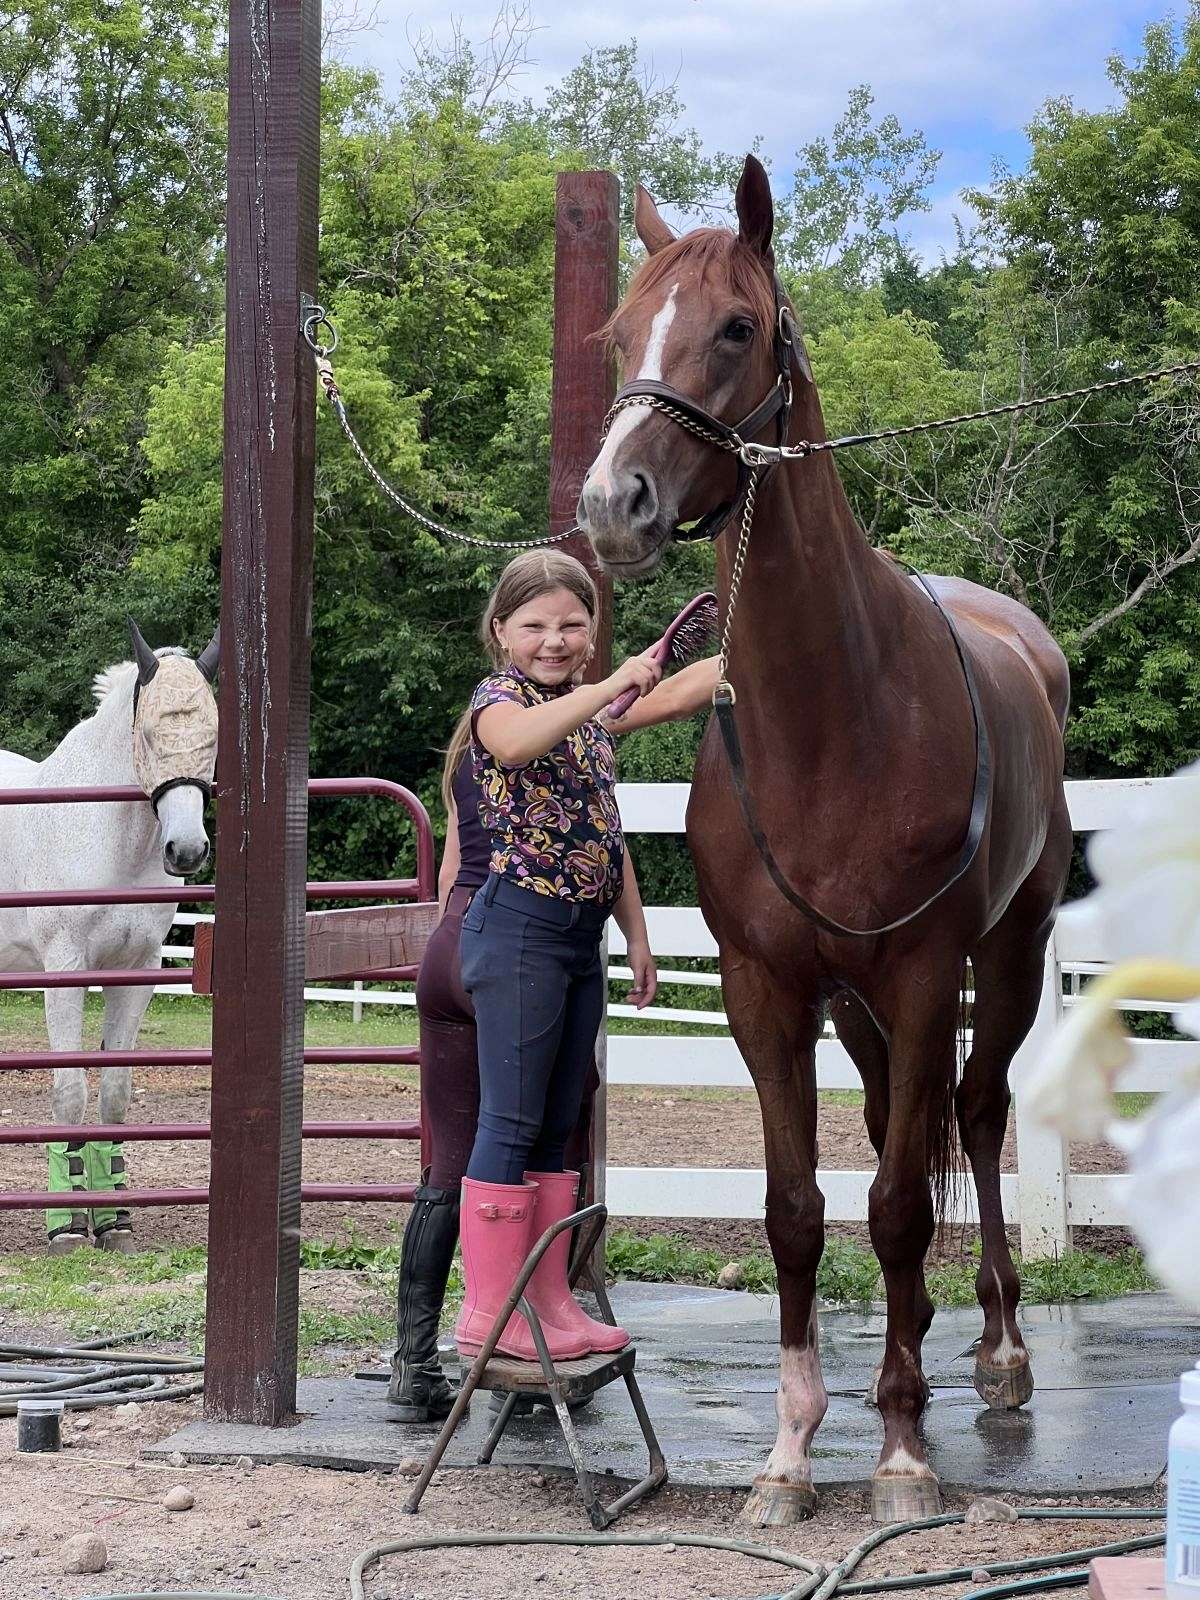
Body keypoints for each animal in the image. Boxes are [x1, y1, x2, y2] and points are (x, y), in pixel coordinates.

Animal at [0, 622, 219, 1253]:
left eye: (213, 735)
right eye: (147, 732)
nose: (186, 850)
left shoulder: (136, 971)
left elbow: (114, 1092)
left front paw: (115, 1219)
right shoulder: (66, 969)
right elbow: (70, 1091)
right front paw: (67, 1226)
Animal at [577, 155, 1071, 1525]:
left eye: (738, 328)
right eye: (619, 335)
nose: (613, 503)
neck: (834, 711)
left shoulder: (923, 975)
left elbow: (899, 1207)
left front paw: (899, 1451)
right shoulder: (768, 989)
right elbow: (799, 1211)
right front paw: (792, 1452)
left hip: (1006, 960)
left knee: (980, 1114)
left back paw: (996, 1347)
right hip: (856, 1008)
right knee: (903, 1125)